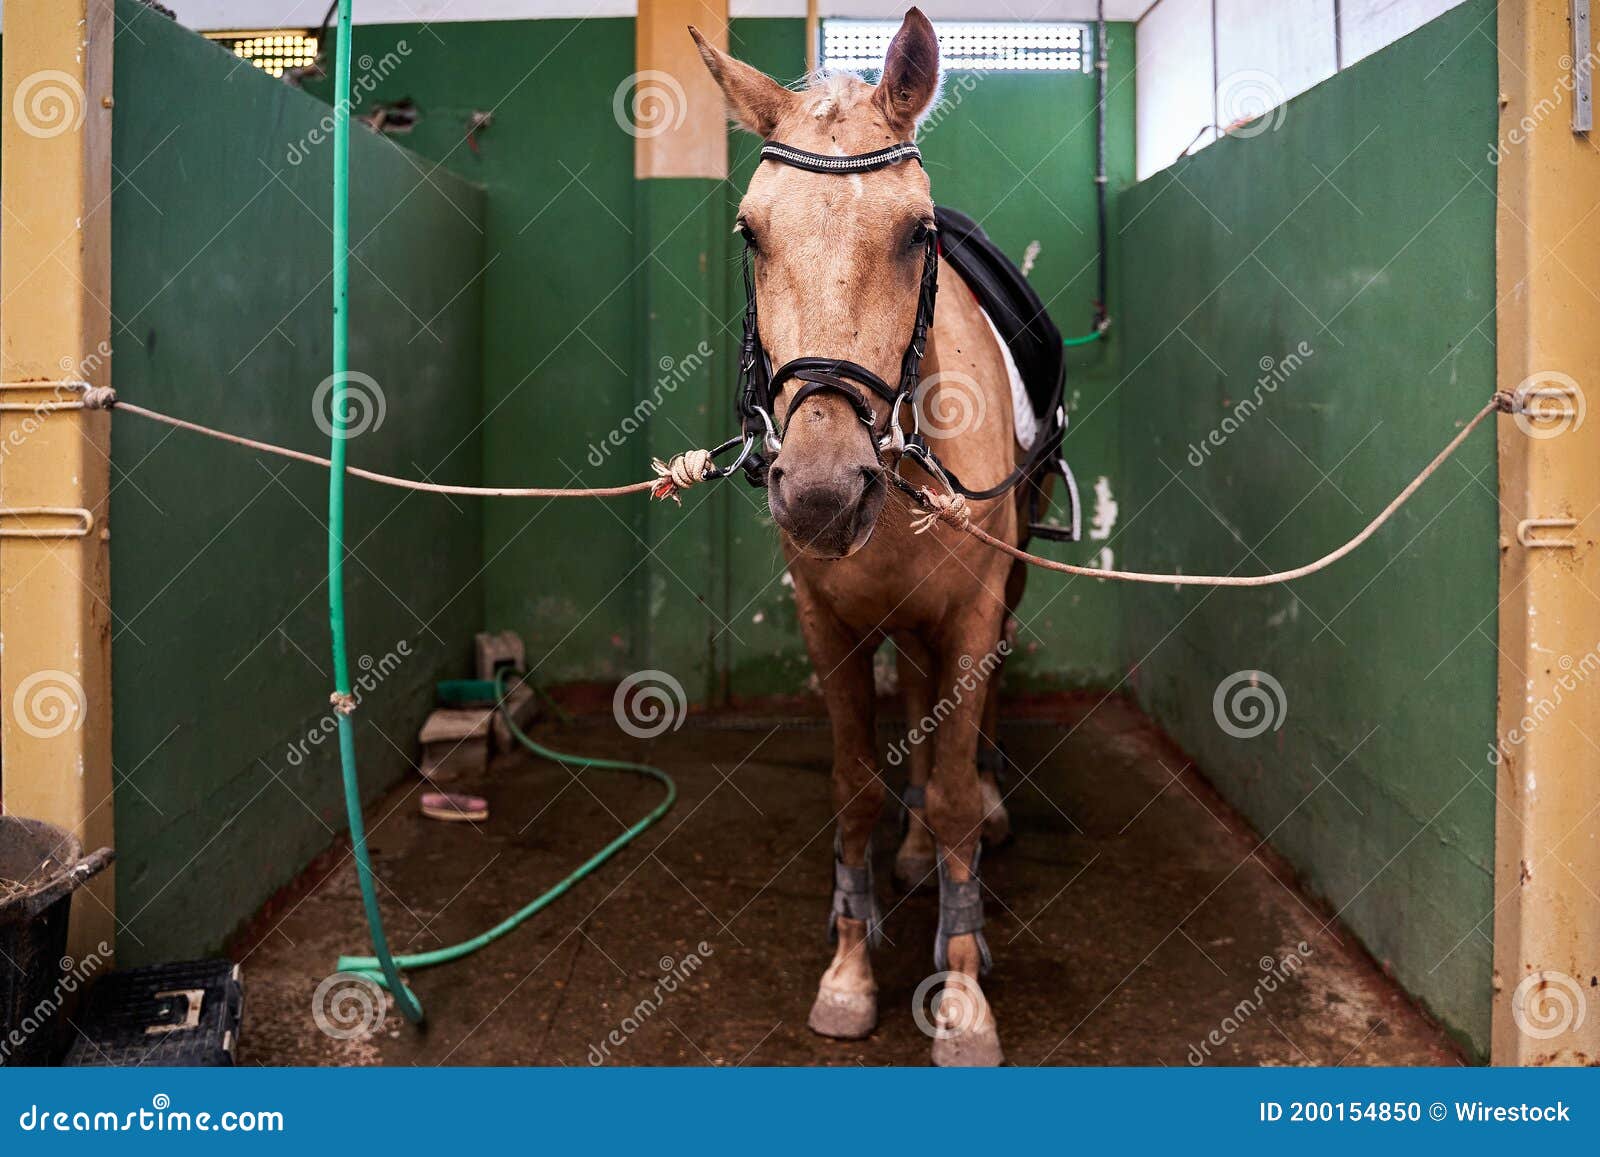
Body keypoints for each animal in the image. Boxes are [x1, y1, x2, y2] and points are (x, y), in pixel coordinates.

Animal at [692, 8, 1031, 1066]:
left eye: (918, 233)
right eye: (749, 232)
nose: (822, 492)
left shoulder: (971, 608)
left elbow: (956, 783)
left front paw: (961, 988)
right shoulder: (827, 620)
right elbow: (854, 788)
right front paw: (848, 969)